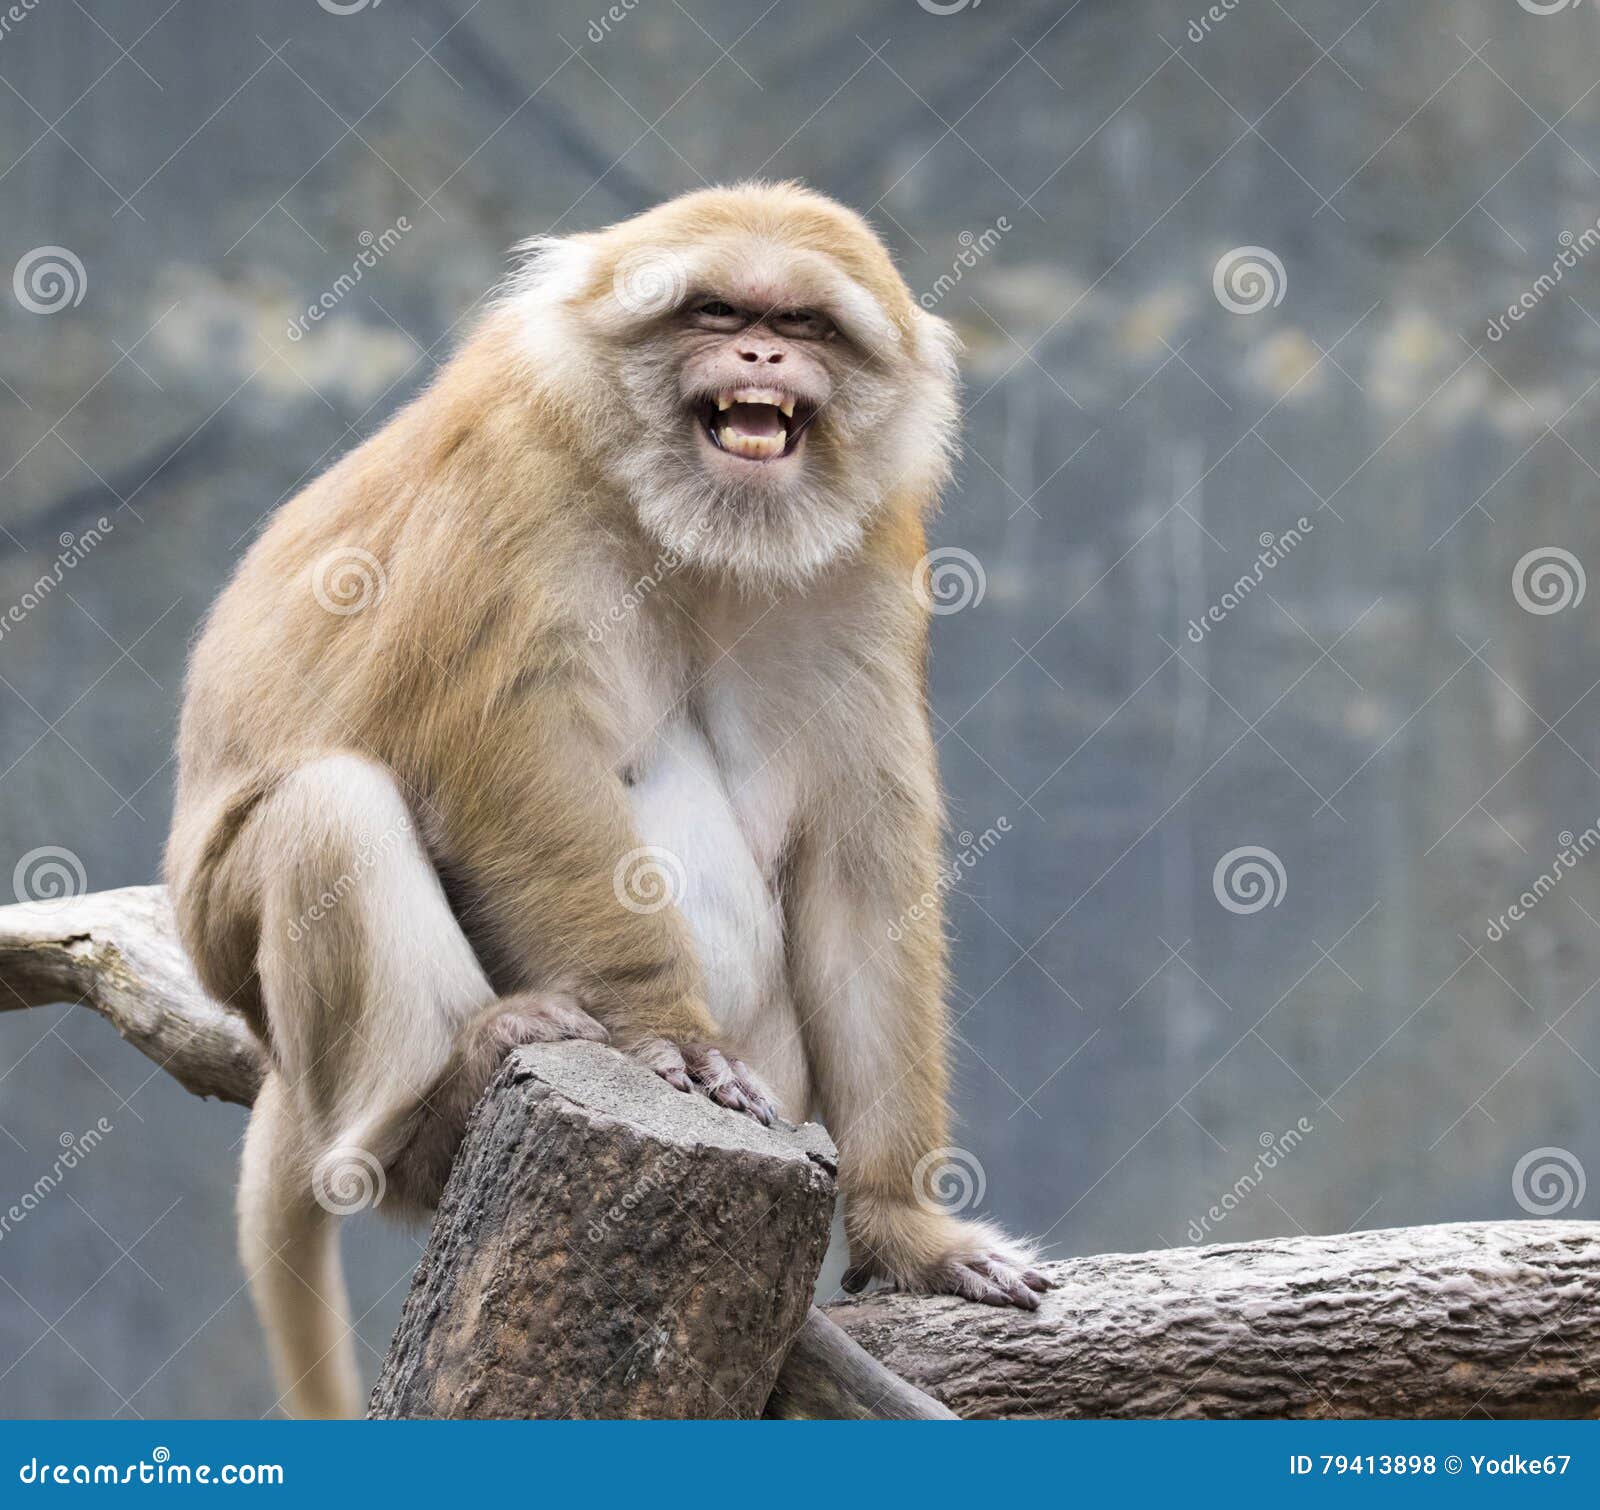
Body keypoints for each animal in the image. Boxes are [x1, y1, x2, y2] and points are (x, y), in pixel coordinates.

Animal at [165, 181, 1049, 1419]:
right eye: (716, 308)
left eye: (806, 324)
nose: (762, 351)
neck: (681, 520)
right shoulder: (513, 476)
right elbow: (503, 759)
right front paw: (665, 1031)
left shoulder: (867, 555)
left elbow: (858, 870)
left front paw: (906, 1227)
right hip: (252, 972)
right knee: (326, 806)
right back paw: (438, 1106)